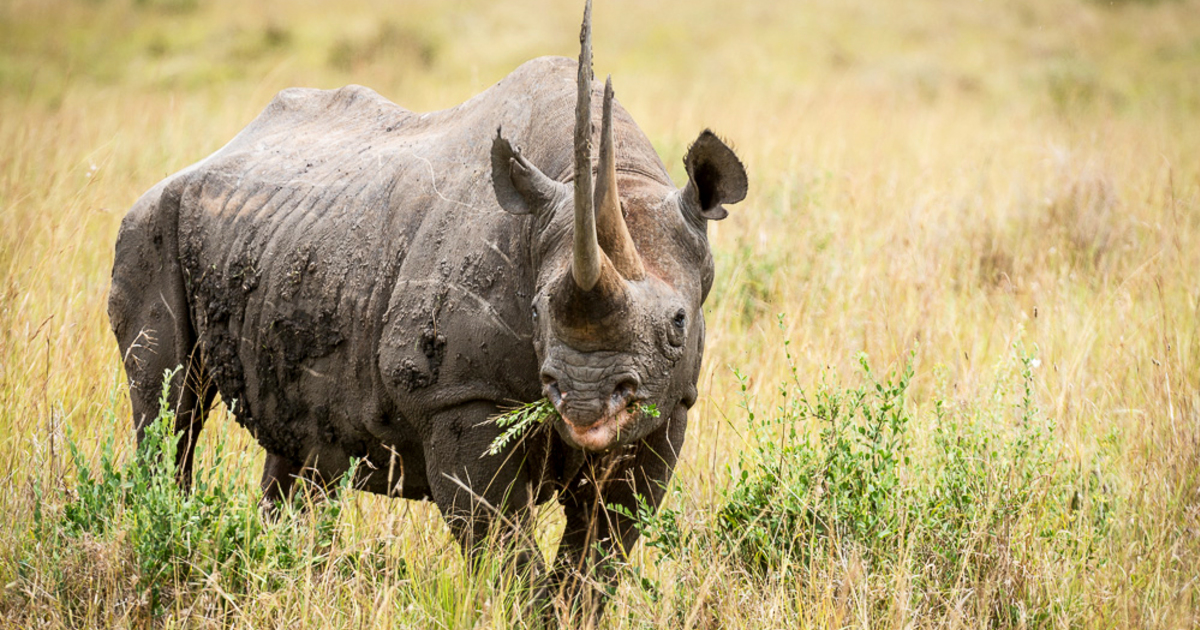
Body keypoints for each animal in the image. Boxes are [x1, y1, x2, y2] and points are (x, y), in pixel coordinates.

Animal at [108, 0, 745, 618]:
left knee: (298, 457)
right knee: (170, 407)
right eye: (536, 314)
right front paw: (525, 609)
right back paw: (169, 528)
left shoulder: (669, 406)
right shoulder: (457, 397)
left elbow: (602, 548)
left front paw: (573, 607)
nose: (585, 400)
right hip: (148, 222)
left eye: (679, 323)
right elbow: (502, 544)